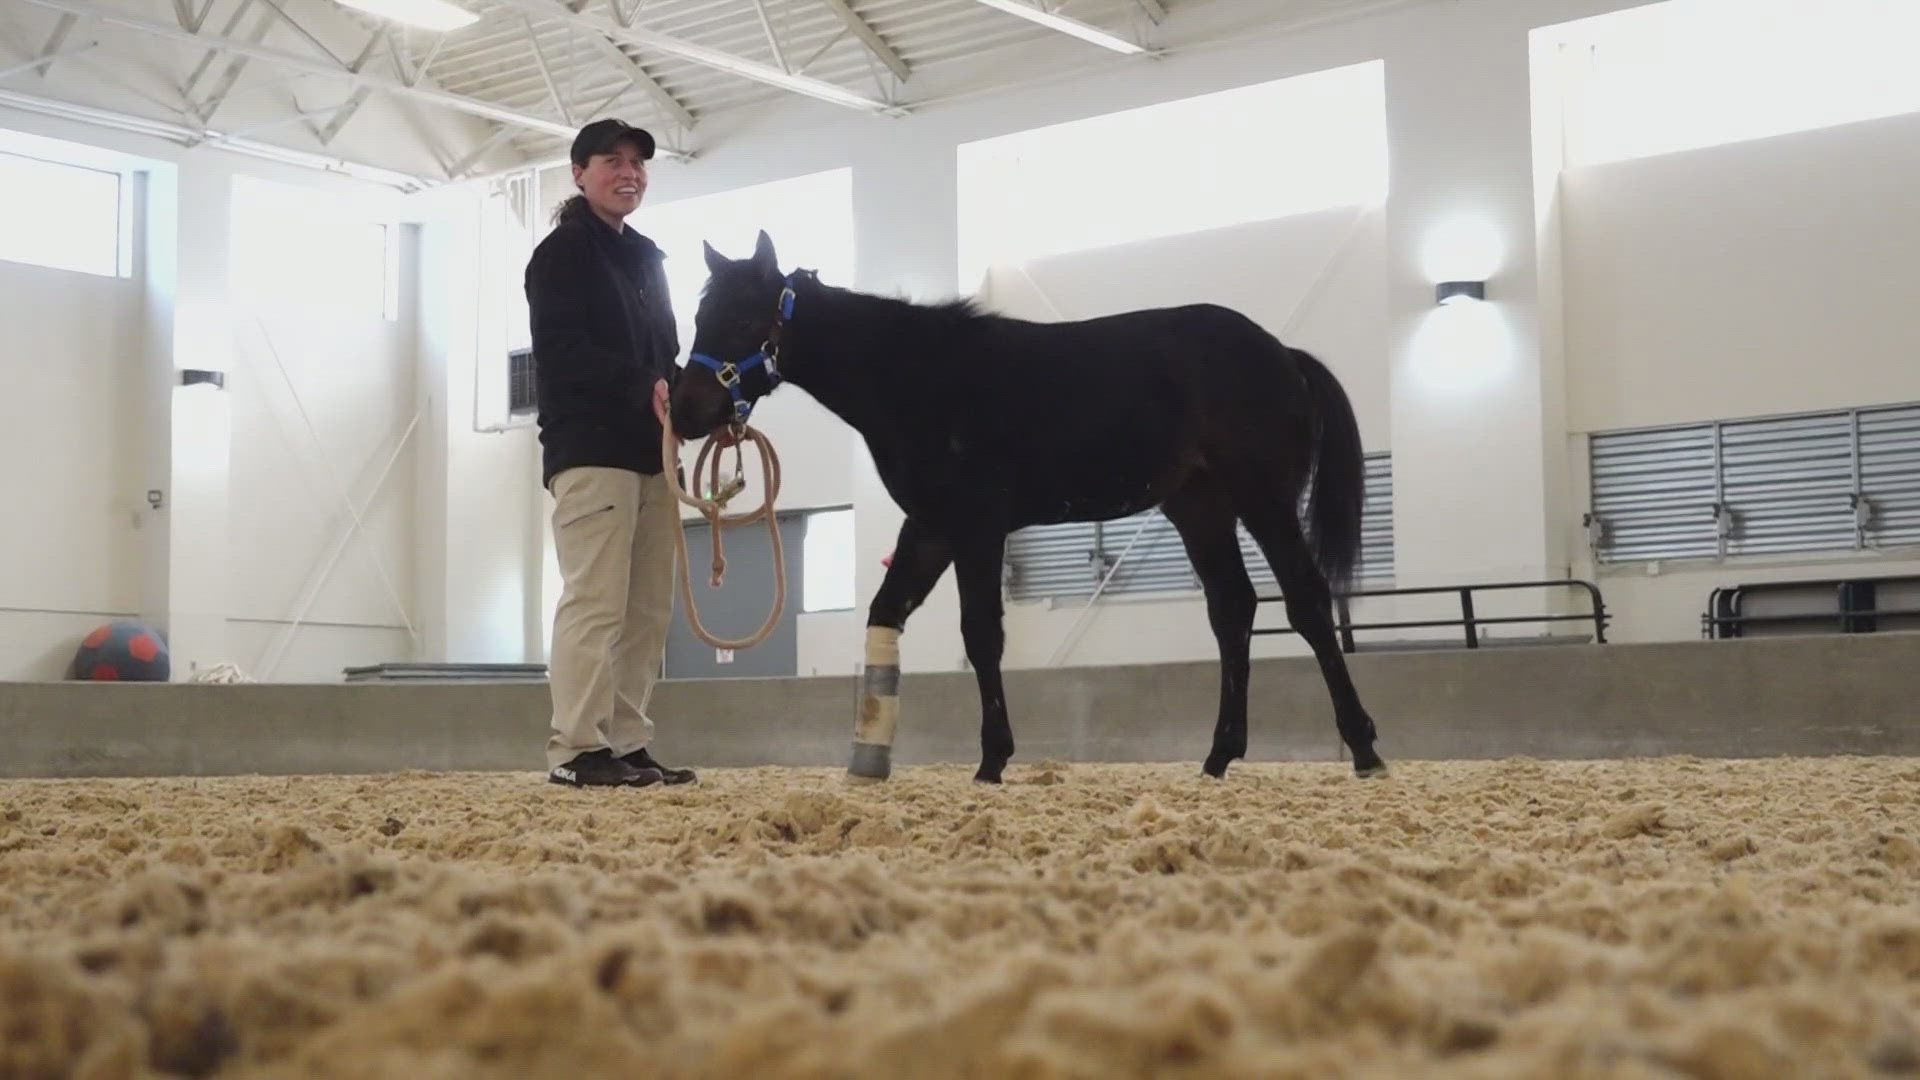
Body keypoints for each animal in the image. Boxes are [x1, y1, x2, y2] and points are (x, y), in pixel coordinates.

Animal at [668, 230, 1387, 785]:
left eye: (741, 319)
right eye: (699, 319)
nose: (684, 411)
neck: (917, 378)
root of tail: (1282, 353)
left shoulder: (978, 526)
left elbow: (982, 635)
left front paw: (992, 762)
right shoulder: (931, 527)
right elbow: (886, 613)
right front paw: (868, 757)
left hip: (1263, 497)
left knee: (1306, 601)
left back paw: (1365, 749)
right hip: (1200, 508)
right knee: (1232, 609)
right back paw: (1217, 758)